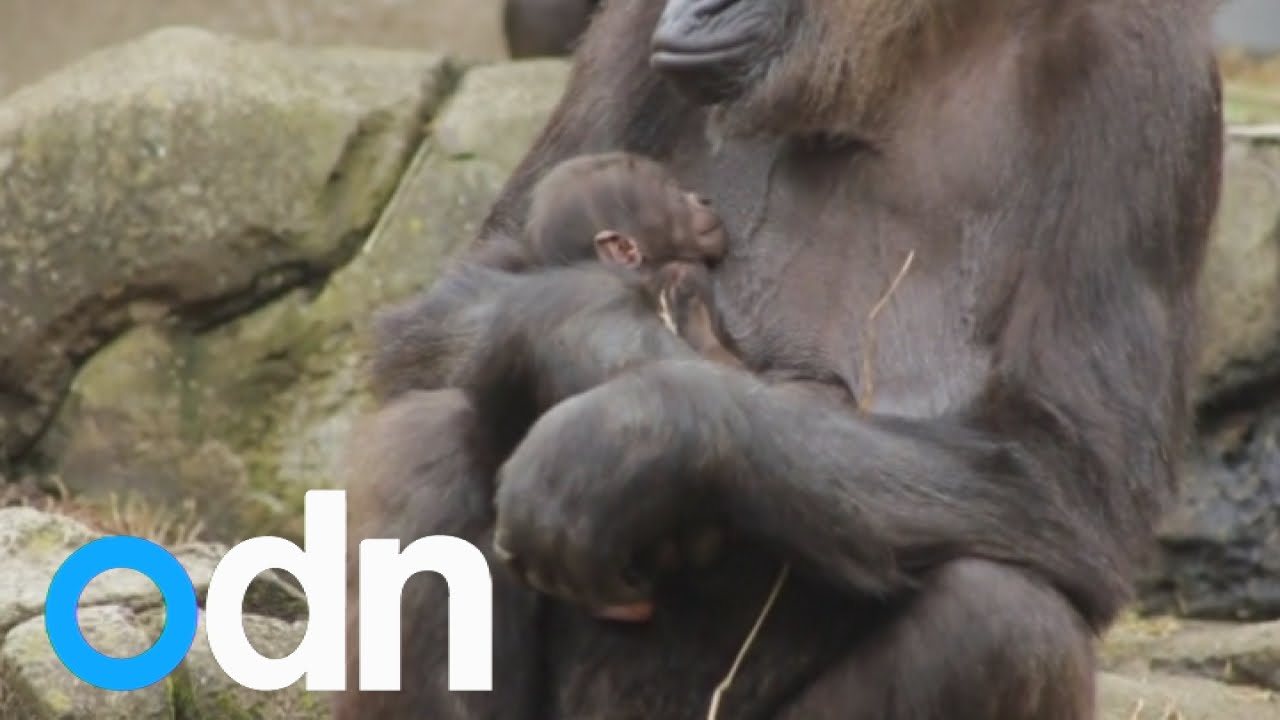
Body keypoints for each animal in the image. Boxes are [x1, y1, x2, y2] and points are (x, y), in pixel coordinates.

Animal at [337, 1, 1225, 718]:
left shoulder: (1145, 73)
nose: (695, 5)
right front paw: (584, 338)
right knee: (438, 434)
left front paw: (637, 437)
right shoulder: (630, 25)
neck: (926, 36)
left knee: (1001, 624)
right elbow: (470, 289)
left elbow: (1069, 465)